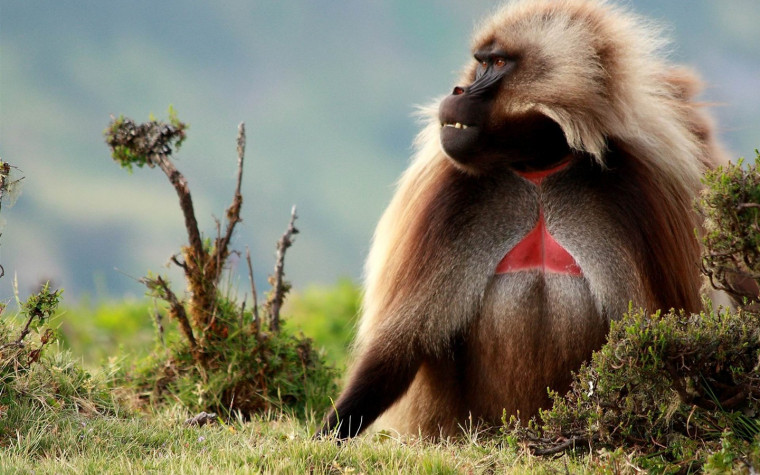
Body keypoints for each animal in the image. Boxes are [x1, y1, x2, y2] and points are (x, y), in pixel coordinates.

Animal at [320, 0, 729, 439]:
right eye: (479, 63)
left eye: (498, 63)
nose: (457, 92)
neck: (539, 169)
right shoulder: (448, 199)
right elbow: (401, 346)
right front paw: (329, 433)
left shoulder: (642, 195)